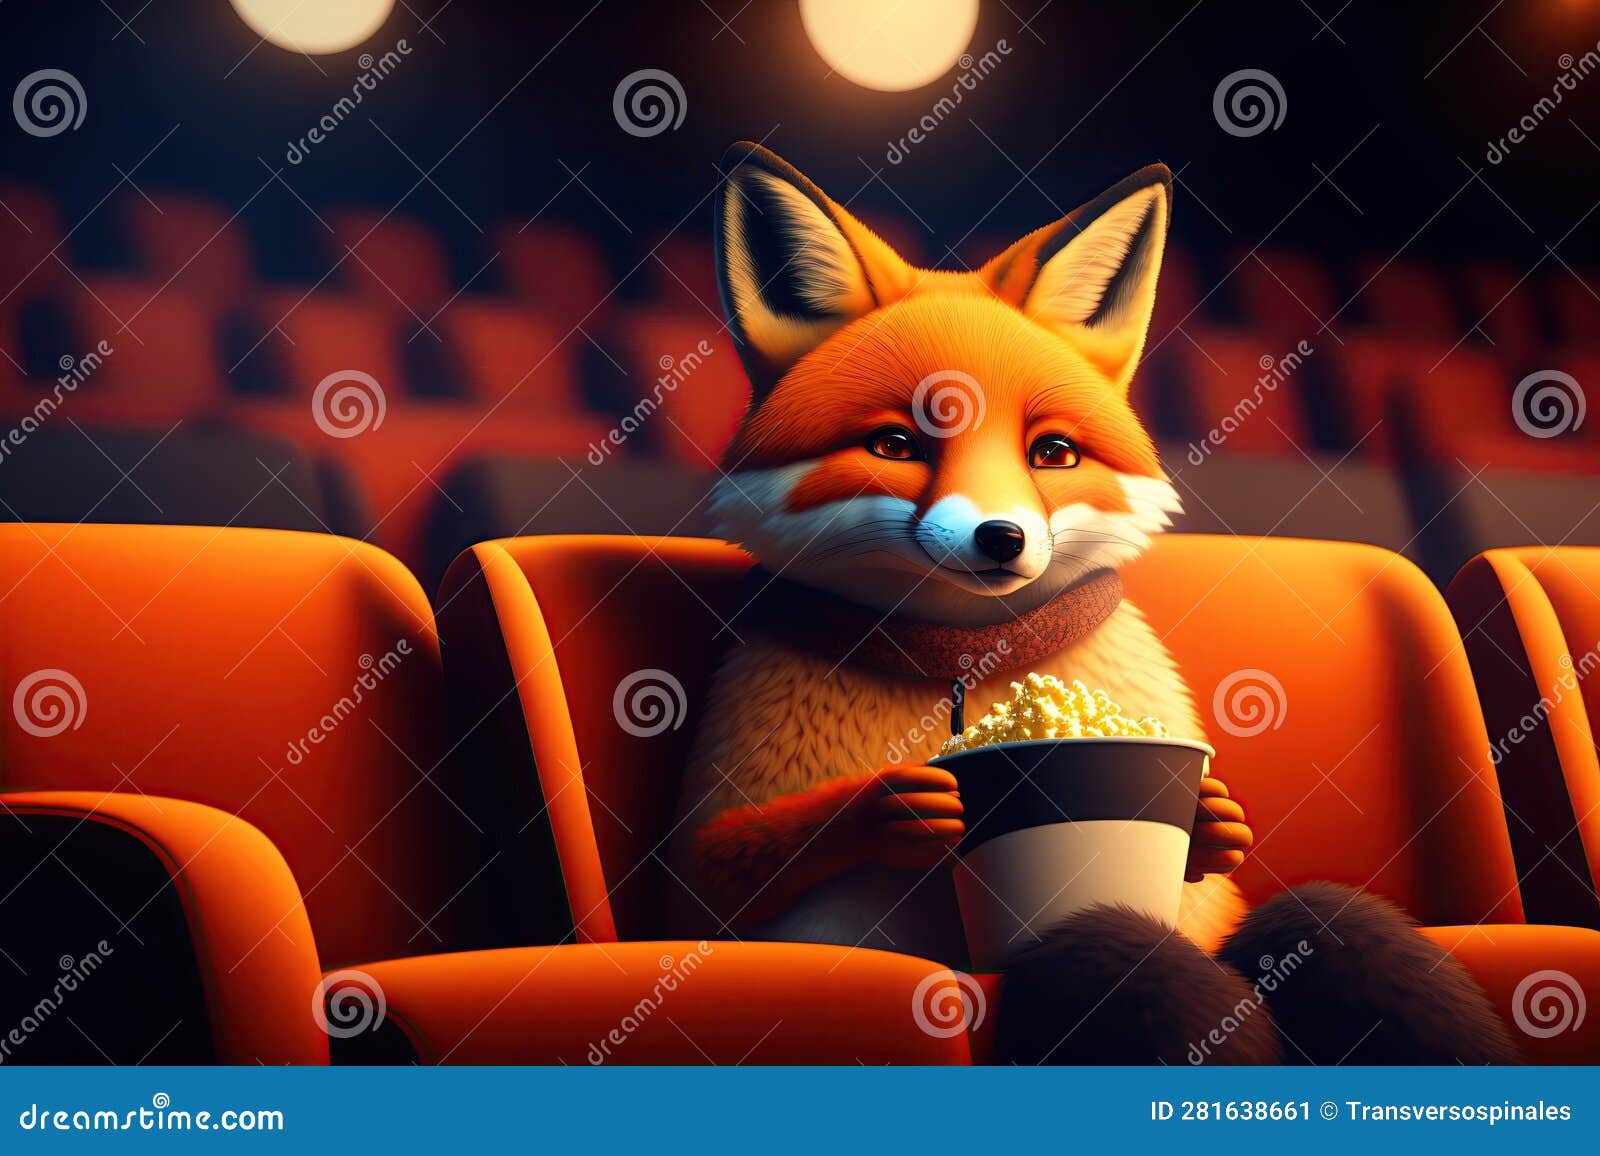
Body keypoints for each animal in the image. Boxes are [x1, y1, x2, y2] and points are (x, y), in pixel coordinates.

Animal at [667, 142, 1515, 1064]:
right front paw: (894, 804)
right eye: (895, 445)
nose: (1001, 537)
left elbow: (1214, 855)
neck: (964, 662)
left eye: (1053, 453)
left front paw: (1214, 819)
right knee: (1123, 954)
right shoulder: (723, 811)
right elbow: (707, 868)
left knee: (1328, 925)